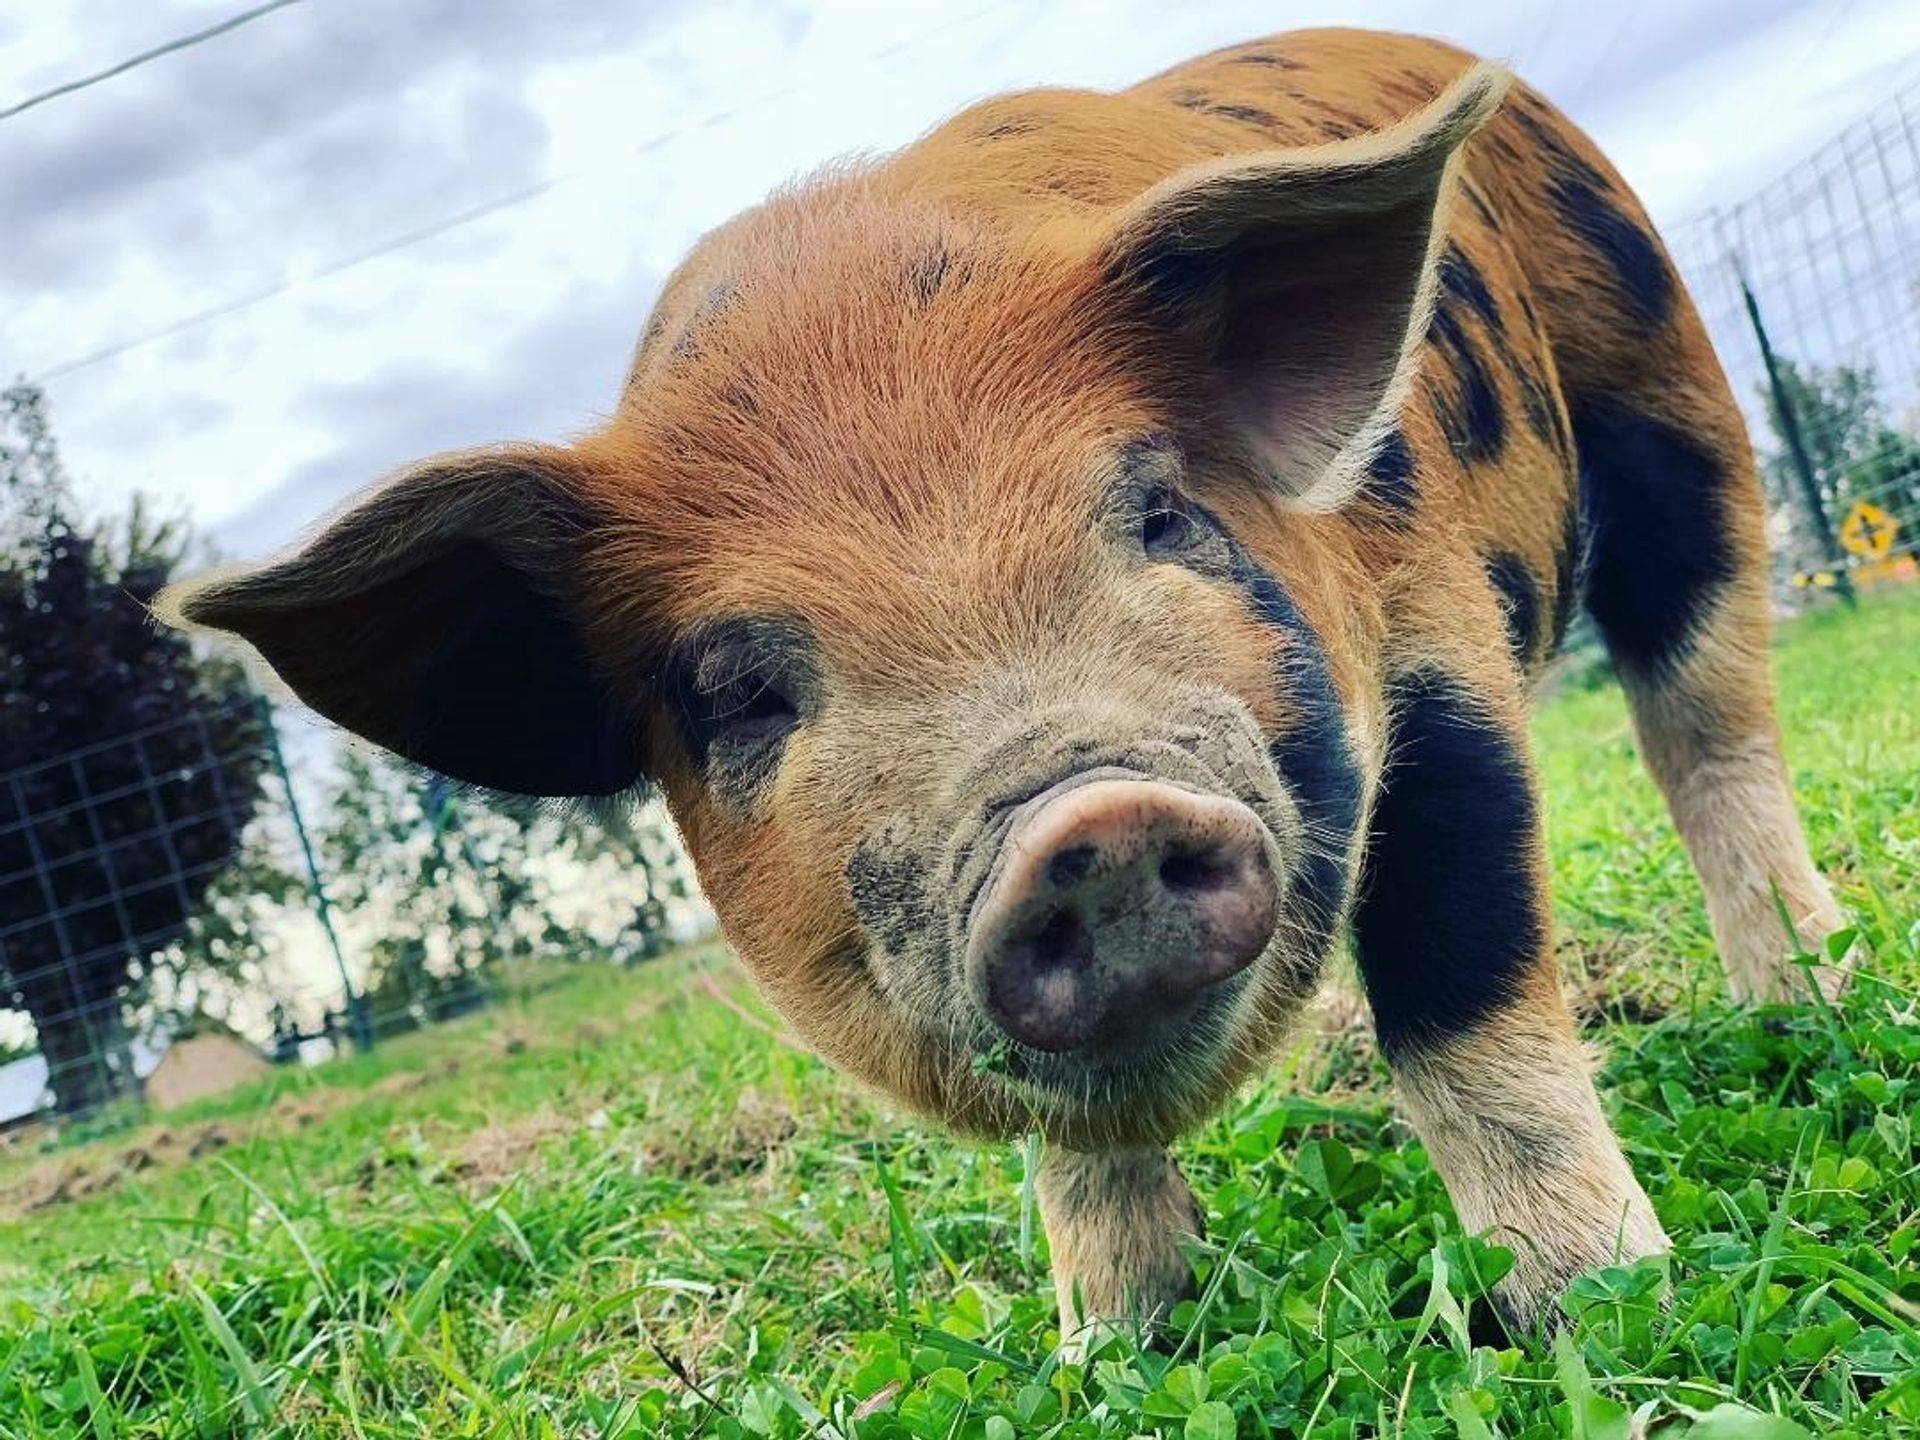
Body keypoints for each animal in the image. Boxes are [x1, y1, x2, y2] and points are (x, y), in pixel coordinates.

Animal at [161, 29, 1846, 1341]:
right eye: (737, 691)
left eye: (1161, 511)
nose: (1084, 820)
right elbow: (1072, 1154)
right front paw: (1118, 1351)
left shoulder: (1435, 660)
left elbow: (1466, 992)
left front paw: (1599, 1308)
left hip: (1678, 400)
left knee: (1709, 724)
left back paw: (1805, 1004)